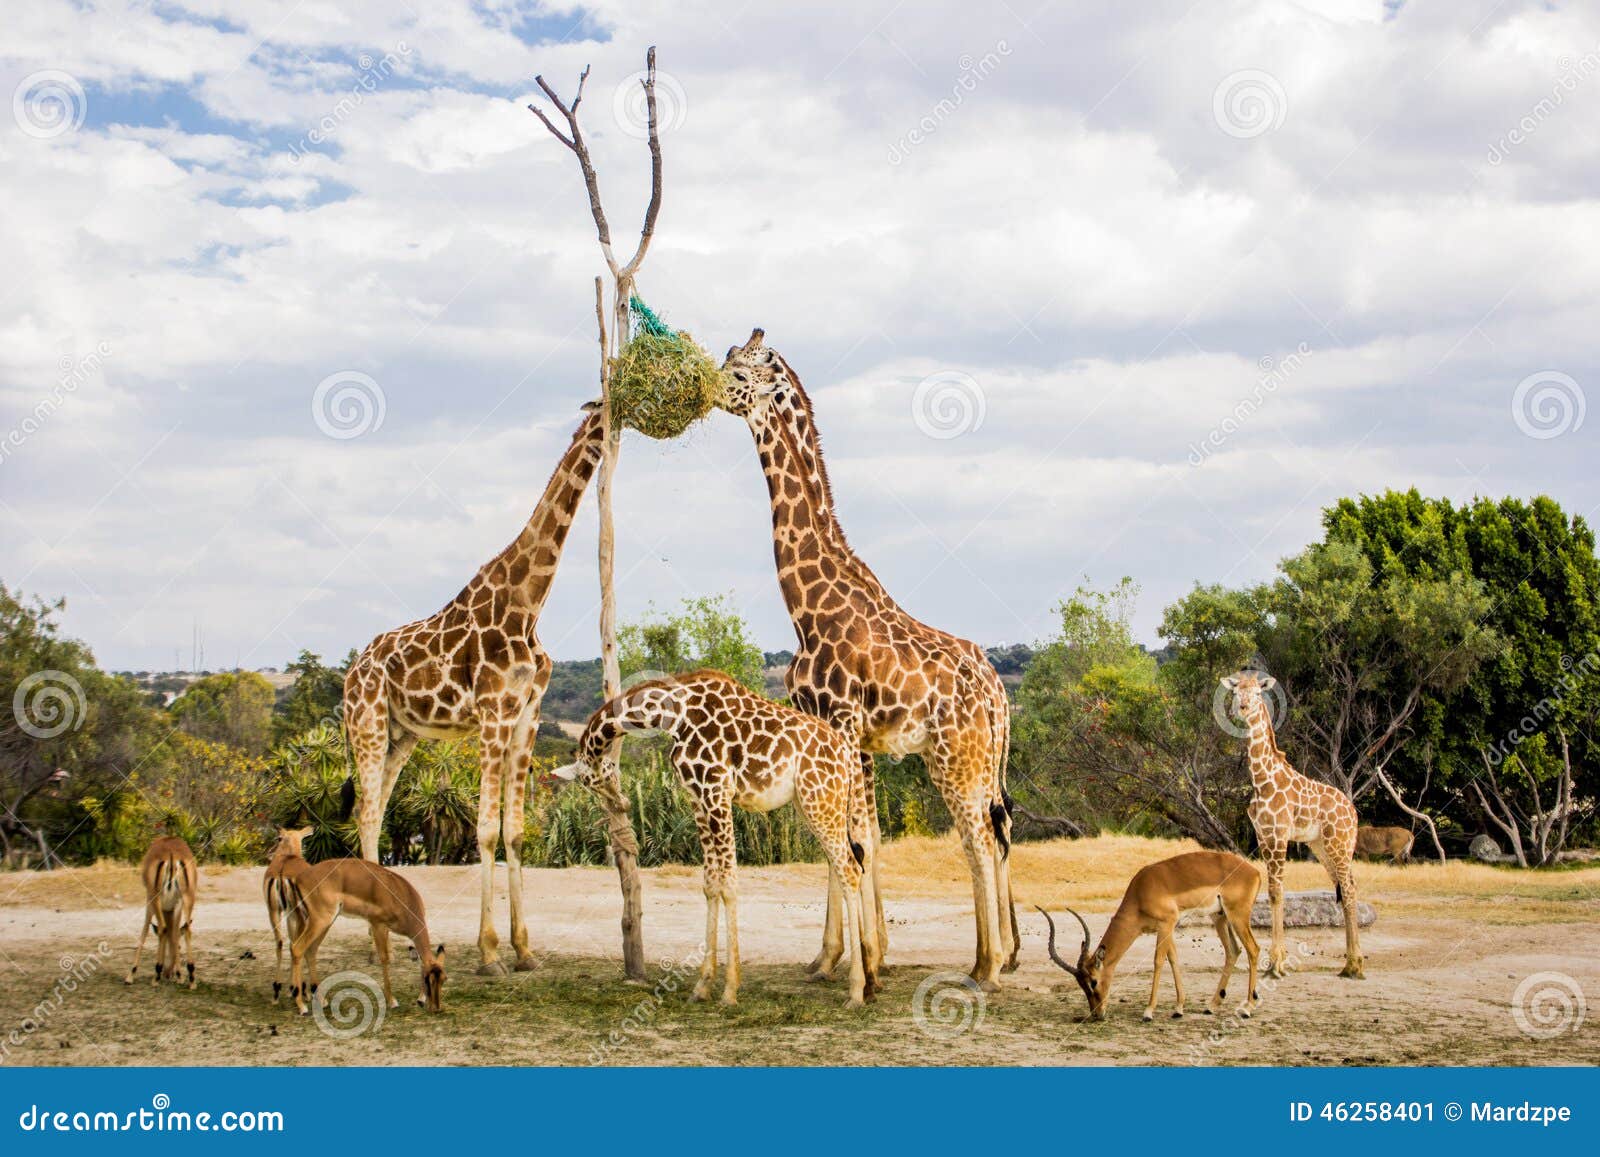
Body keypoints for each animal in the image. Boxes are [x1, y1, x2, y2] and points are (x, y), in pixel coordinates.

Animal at [343, 403, 625, 975]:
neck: (528, 600)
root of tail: (349, 673)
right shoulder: (494, 713)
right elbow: (486, 830)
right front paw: (490, 951)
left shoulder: (527, 716)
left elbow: (514, 831)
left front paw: (525, 949)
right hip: (368, 725)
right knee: (367, 810)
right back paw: (375, 935)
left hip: (403, 734)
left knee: (375, 811)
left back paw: (392, 929)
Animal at [551, 669, 880, 1007]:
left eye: (592, 779)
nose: (621, 804)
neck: (672, 714)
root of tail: (846, 754)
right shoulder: (697, 798)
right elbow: (710, 885)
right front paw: (703, 985)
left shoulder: (717, 790)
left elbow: (729, 884)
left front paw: (730, 989)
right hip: (816, 802)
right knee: (849, 861)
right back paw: (868, 981)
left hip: (821, 798)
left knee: (849, 868)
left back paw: (856, 990)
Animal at [715, 330, 1018, 991]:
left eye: (737, 371)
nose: (702, 388)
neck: (804, 606)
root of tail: (998, 696)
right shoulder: (841, 731)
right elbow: (863, 837)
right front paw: (840, 957)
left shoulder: (841, 720)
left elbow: (850, 838)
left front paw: (858, 961)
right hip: (975, 758)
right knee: (996, 831)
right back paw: (994, 954)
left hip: (955, 756)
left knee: (980, 837)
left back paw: (989, 966)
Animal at [1222, 671, 1365, 980]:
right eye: (1236, 692)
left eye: (1257, 692)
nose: (1242, 708)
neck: (1262, 780)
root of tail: (1353, 812)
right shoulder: (1262, 835)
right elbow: (1272, 891)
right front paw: (1273, 962)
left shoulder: (1278, 835)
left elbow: (1278, 892)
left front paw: (1277, 963)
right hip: (1320, 845)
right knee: (1346, 884)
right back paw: (1349, 964)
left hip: (1339, 843)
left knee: (1349, 889)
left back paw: (1355, 964)